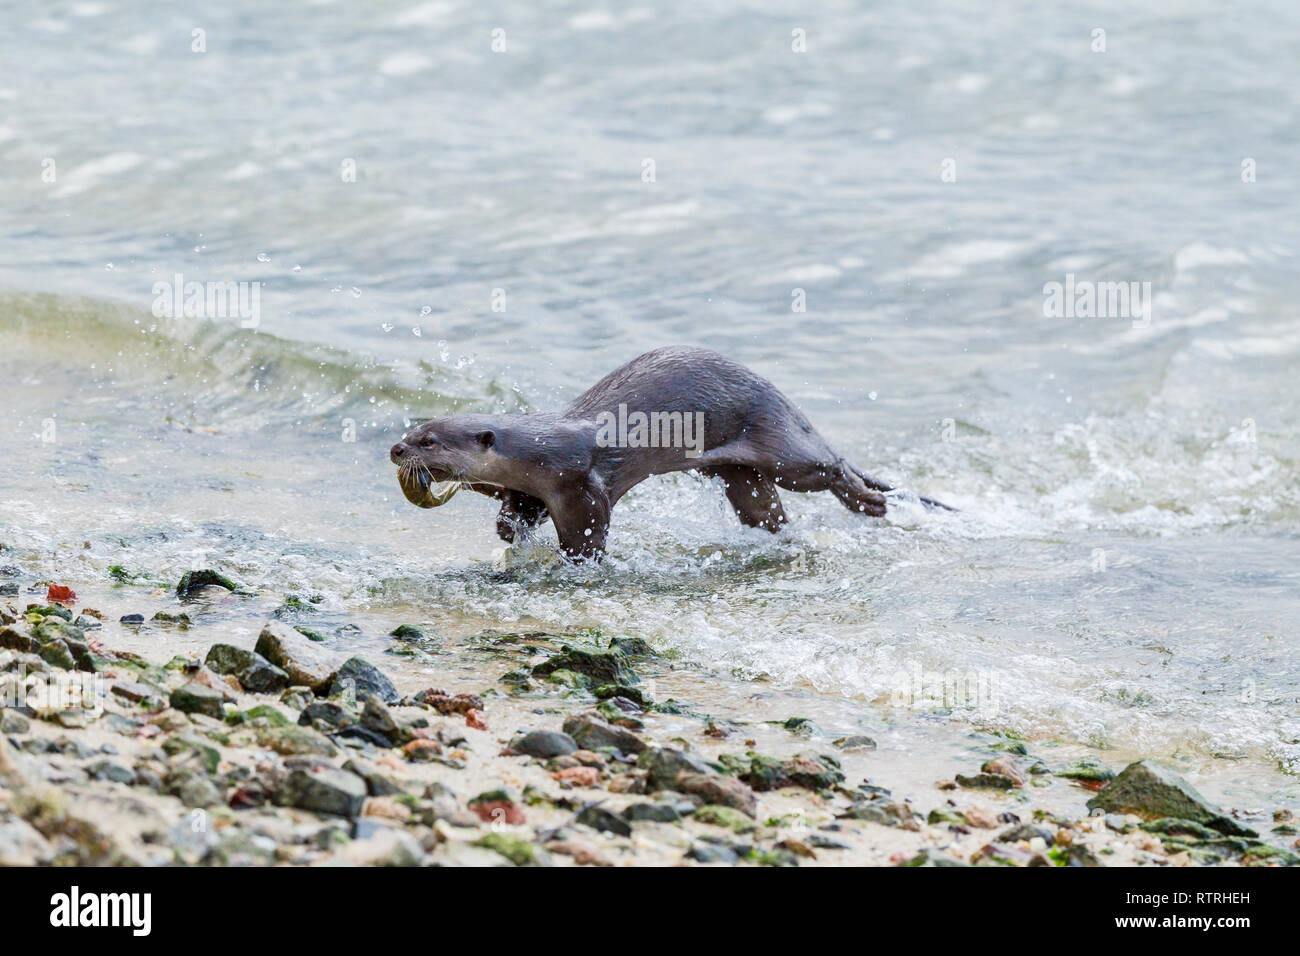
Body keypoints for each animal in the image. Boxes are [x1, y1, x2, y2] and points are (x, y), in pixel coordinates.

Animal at [390, 346, 950, 560]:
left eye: (429, 441)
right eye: (416, 430)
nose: (395, 448)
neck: (539, 449)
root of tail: (785, 401)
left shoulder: (580, 483)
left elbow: (590, 526)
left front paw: (581, 560)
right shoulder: (530, 488)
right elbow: (520, 509)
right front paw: (508, 531)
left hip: (784, 449)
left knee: (829, 465)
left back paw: (870, 504)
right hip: (738, 473)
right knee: (765, 508)